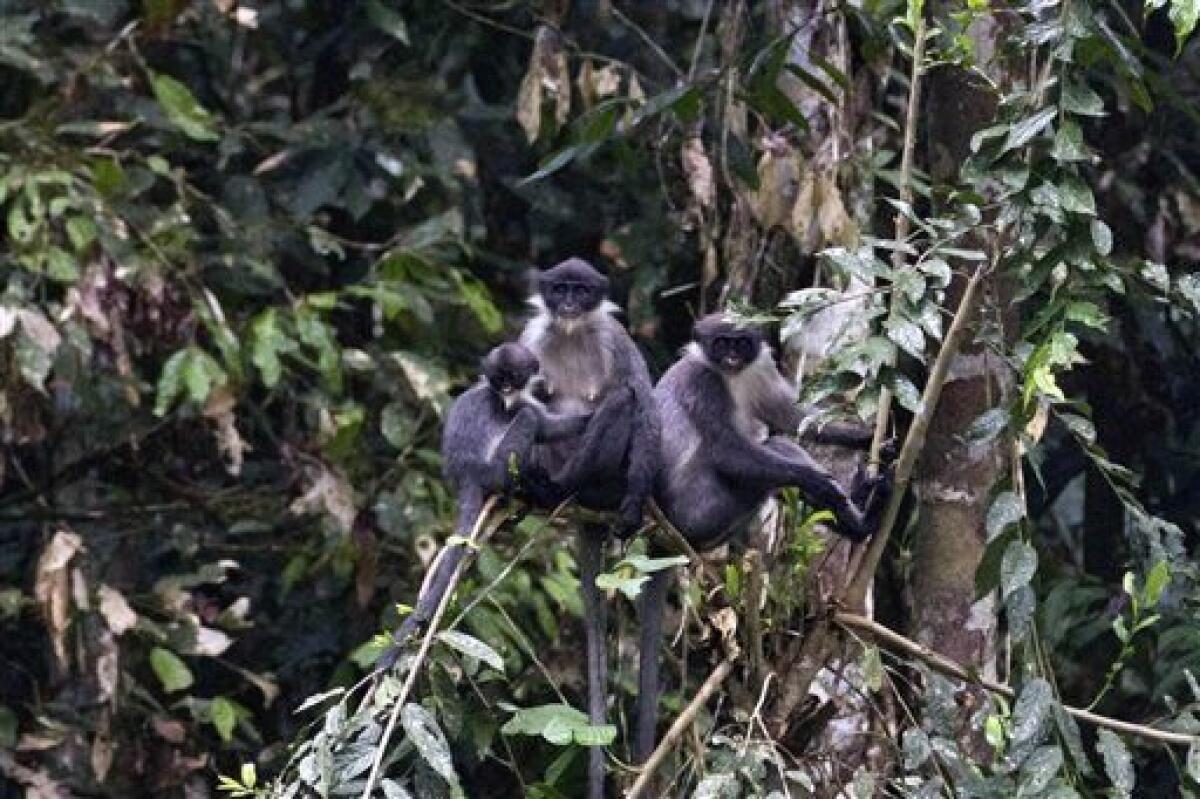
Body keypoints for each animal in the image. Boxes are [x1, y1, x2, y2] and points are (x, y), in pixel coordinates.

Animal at [375, 342, 589, 670]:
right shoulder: (509, 404)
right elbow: (541, 424)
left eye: (513, 377)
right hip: (498, 468)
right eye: (500, 378)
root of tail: (469, 473)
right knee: (526, 420)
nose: (505, 389)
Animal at [517, 257, 661, 799]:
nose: (569, 304)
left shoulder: (612, 336)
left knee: (621, 398)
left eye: (581, 291)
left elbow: (642, 402)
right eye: (559, 289)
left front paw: (635, 508)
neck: (573, 331)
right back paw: (544, 489)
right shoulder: (533, 336)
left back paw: (574, 489)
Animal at [632, 313, 890, 763]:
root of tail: (663, 534)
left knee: (779, 442)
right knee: (766, 457)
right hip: (706, 511)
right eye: (721, 344)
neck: (731, 377)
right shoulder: (703, 381)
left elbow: (795, 420)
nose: (732, 357)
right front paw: (820, 484)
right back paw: (857, 518)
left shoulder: (761, 370)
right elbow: (729, 450)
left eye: (741, 342)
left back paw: (859, 510)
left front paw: (863, 437)